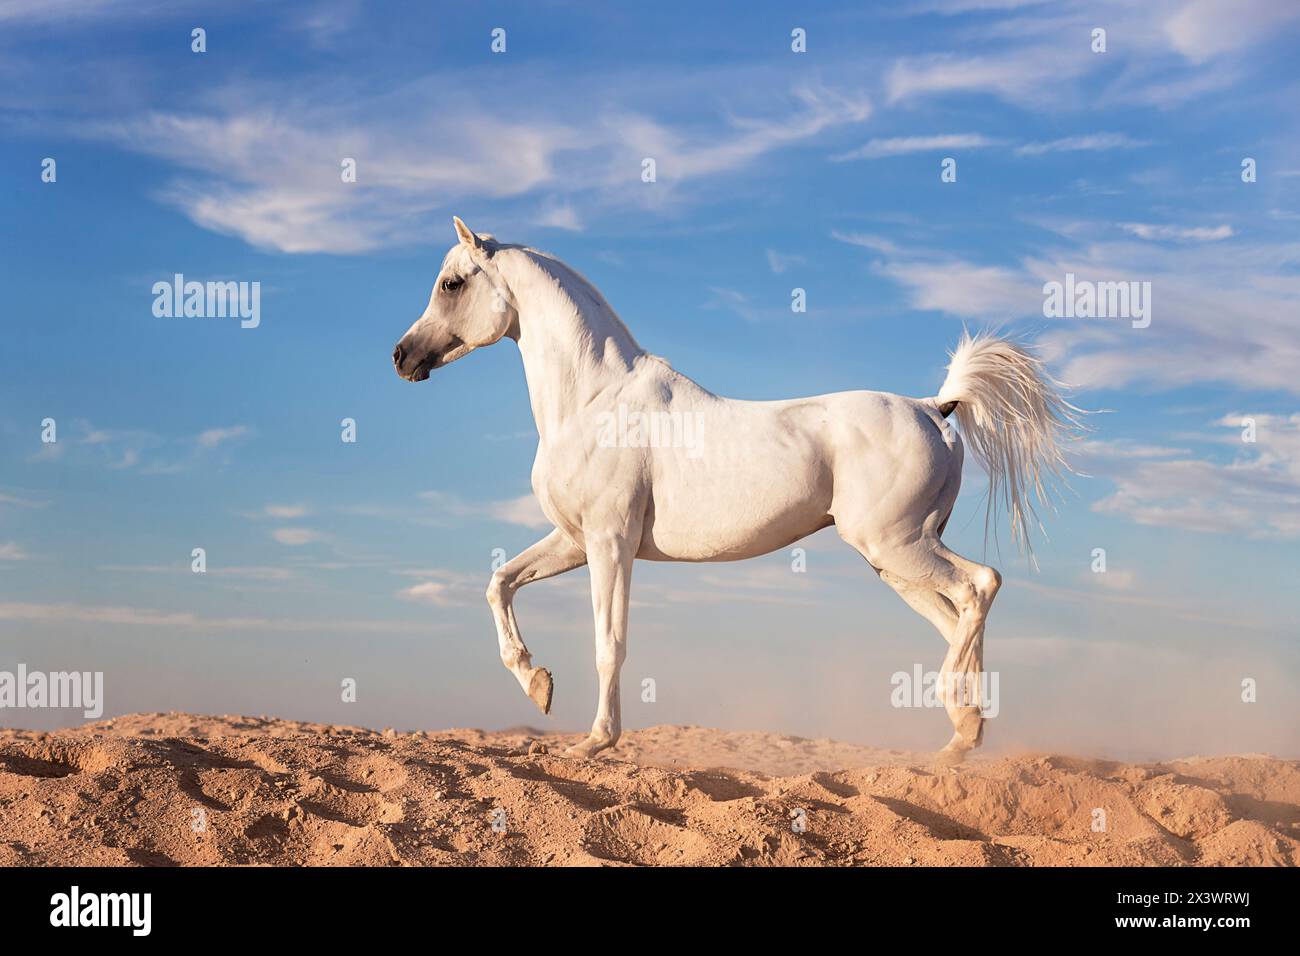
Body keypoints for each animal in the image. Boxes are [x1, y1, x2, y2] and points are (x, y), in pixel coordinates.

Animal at [393, 217, 1081, 764]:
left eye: (451, 283)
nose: (401, 357)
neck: (594, 400)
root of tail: (933, 406)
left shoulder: (610, 544)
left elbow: (609, 642)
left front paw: (594, 741)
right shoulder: (574, 540)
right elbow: (500, 583)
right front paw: (538, 683)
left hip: (898, 545)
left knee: (980, 585)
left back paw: (960, 723)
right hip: (895, 560)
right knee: (958, 612)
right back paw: (961, 736)